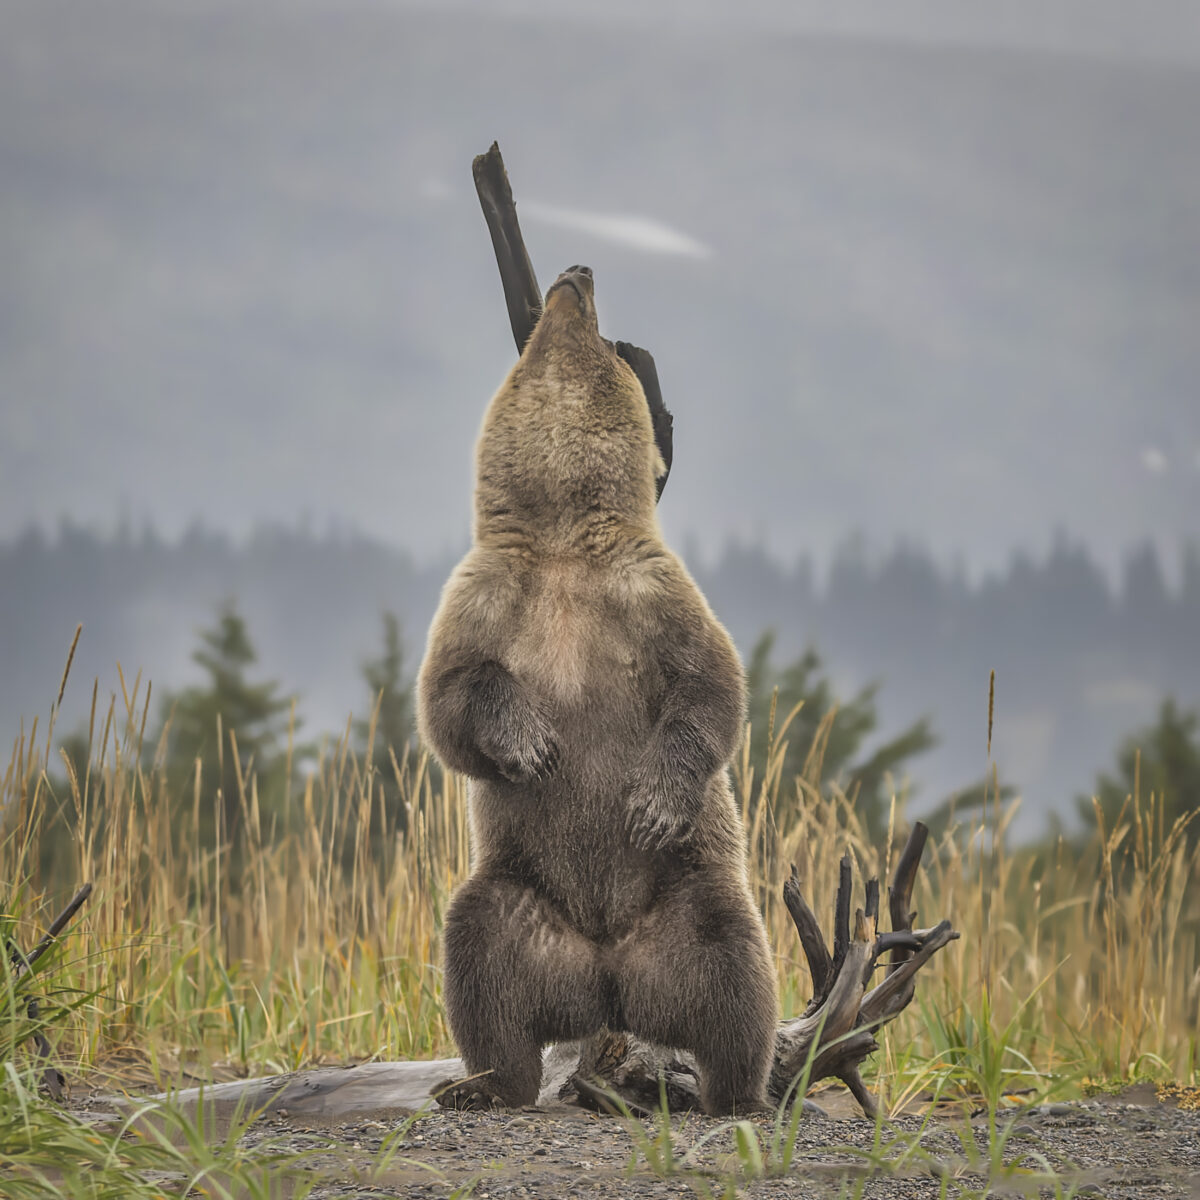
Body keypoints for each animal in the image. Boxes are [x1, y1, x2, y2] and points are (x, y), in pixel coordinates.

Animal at [417, 264, 777, 1115]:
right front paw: (530, 743)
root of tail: (611, 976)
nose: (575, 271)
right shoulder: (484, 594)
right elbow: (450, 699)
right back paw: (483, 1084)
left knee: (735, 977)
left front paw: (650, 800)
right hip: (521, 896)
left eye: (609, 342)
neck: (561, 537)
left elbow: (711, 686)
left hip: (690, 897)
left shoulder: (650, 590)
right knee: (481, 959)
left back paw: (738, 1092)